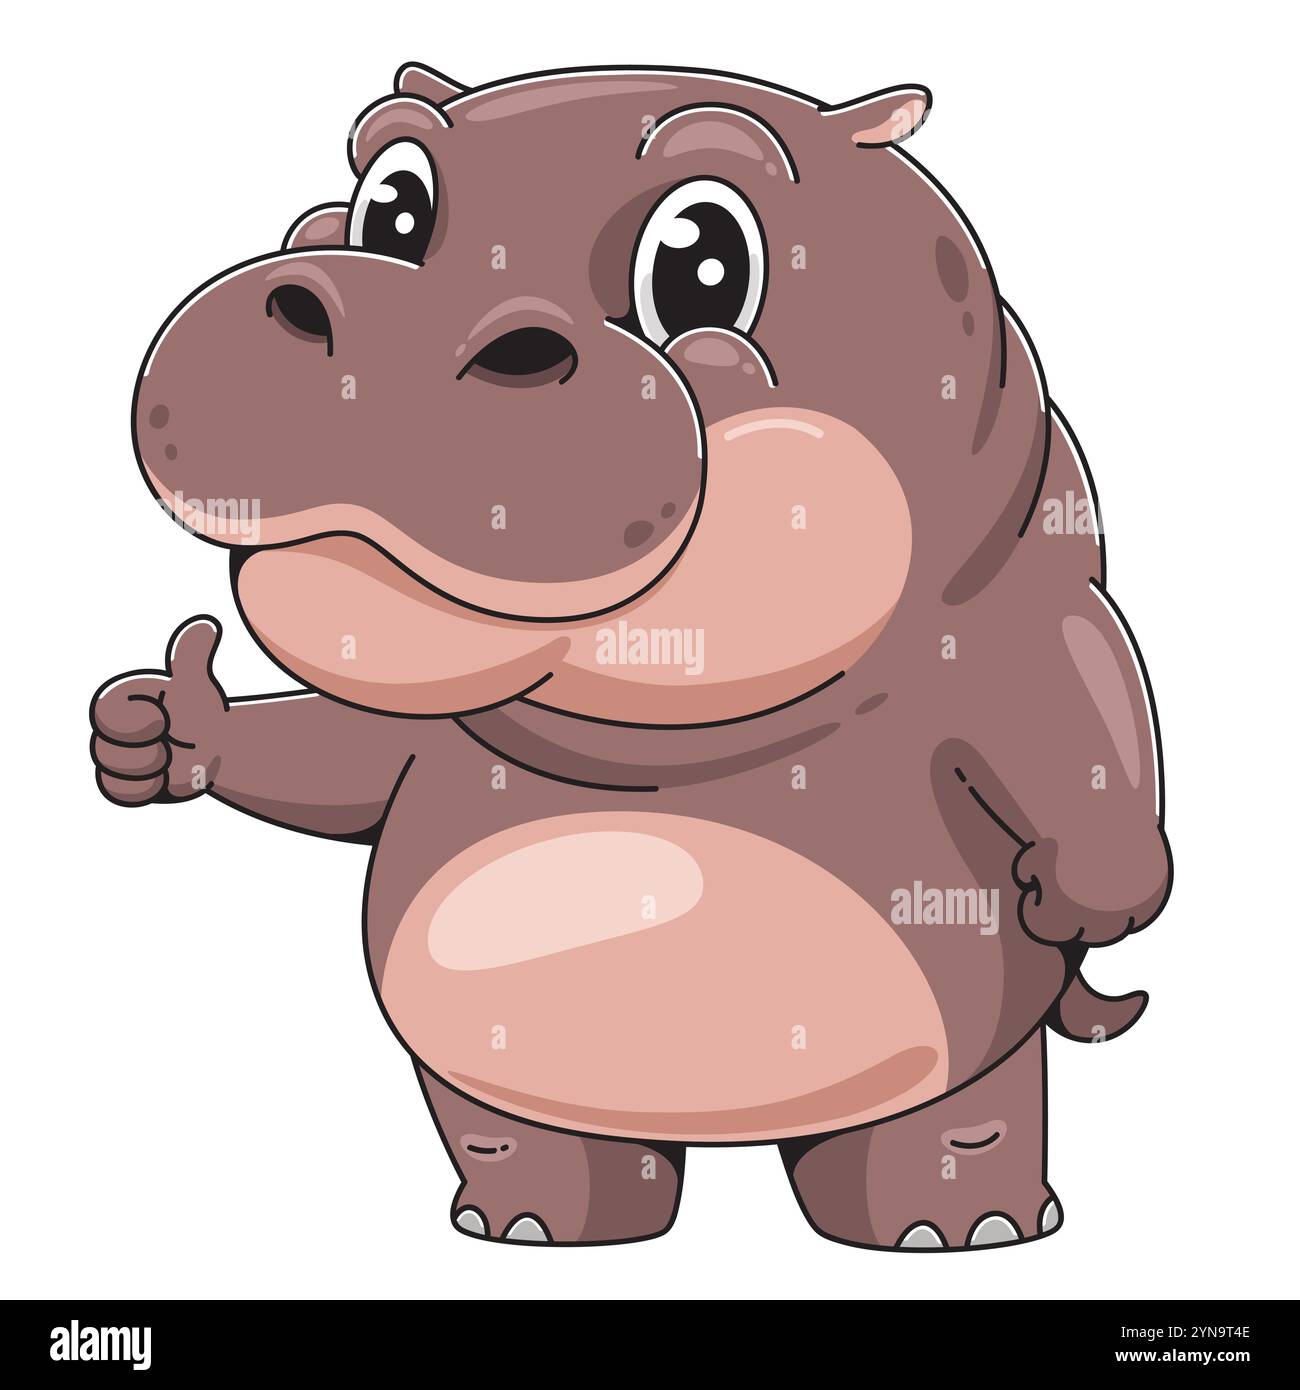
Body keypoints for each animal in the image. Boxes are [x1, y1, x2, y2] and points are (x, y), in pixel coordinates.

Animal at [90, 61, 1172, 1250]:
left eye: (703, 258)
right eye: (393, 205)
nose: (371, 328)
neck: (655, 750)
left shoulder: (1006, 650)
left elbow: (1081, 711)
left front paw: (1092, 890)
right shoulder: (422, 735)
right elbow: (339, 758)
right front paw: (163, 726)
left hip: (955, 1085)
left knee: (960, 1120)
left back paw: (957, 1227)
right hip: (498, 1096)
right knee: (522, 1137)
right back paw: (533, 1222)